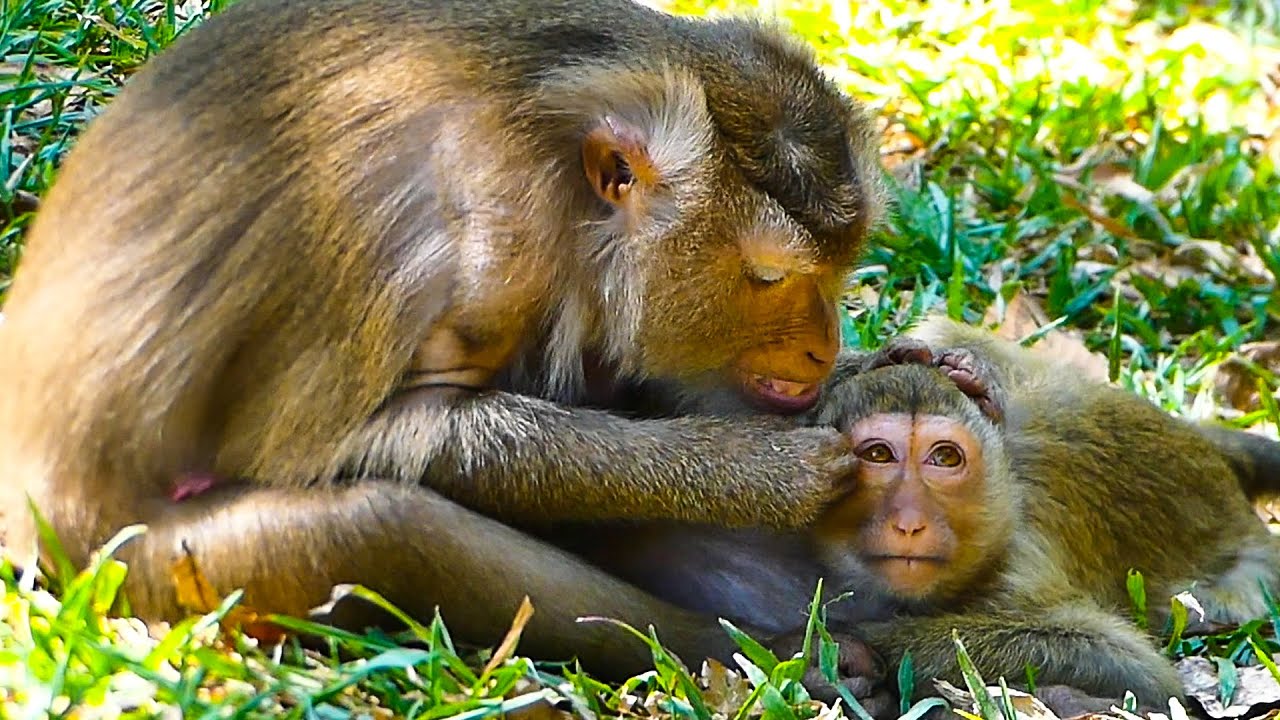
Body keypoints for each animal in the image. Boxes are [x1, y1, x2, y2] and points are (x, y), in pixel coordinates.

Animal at [0, 0, 889, 682]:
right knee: (378, 526)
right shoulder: (490, 233)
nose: (819, 349)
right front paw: (755, 470)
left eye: (839, 270)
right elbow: (345, 443)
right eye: (770, 277)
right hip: (128, 570)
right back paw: (753, 650)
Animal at [569, 319, 1280, 716]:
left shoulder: (1020, 561)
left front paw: (841, 652)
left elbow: (1134, 668)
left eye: (944, 458)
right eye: (879, 455)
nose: (909, 520)